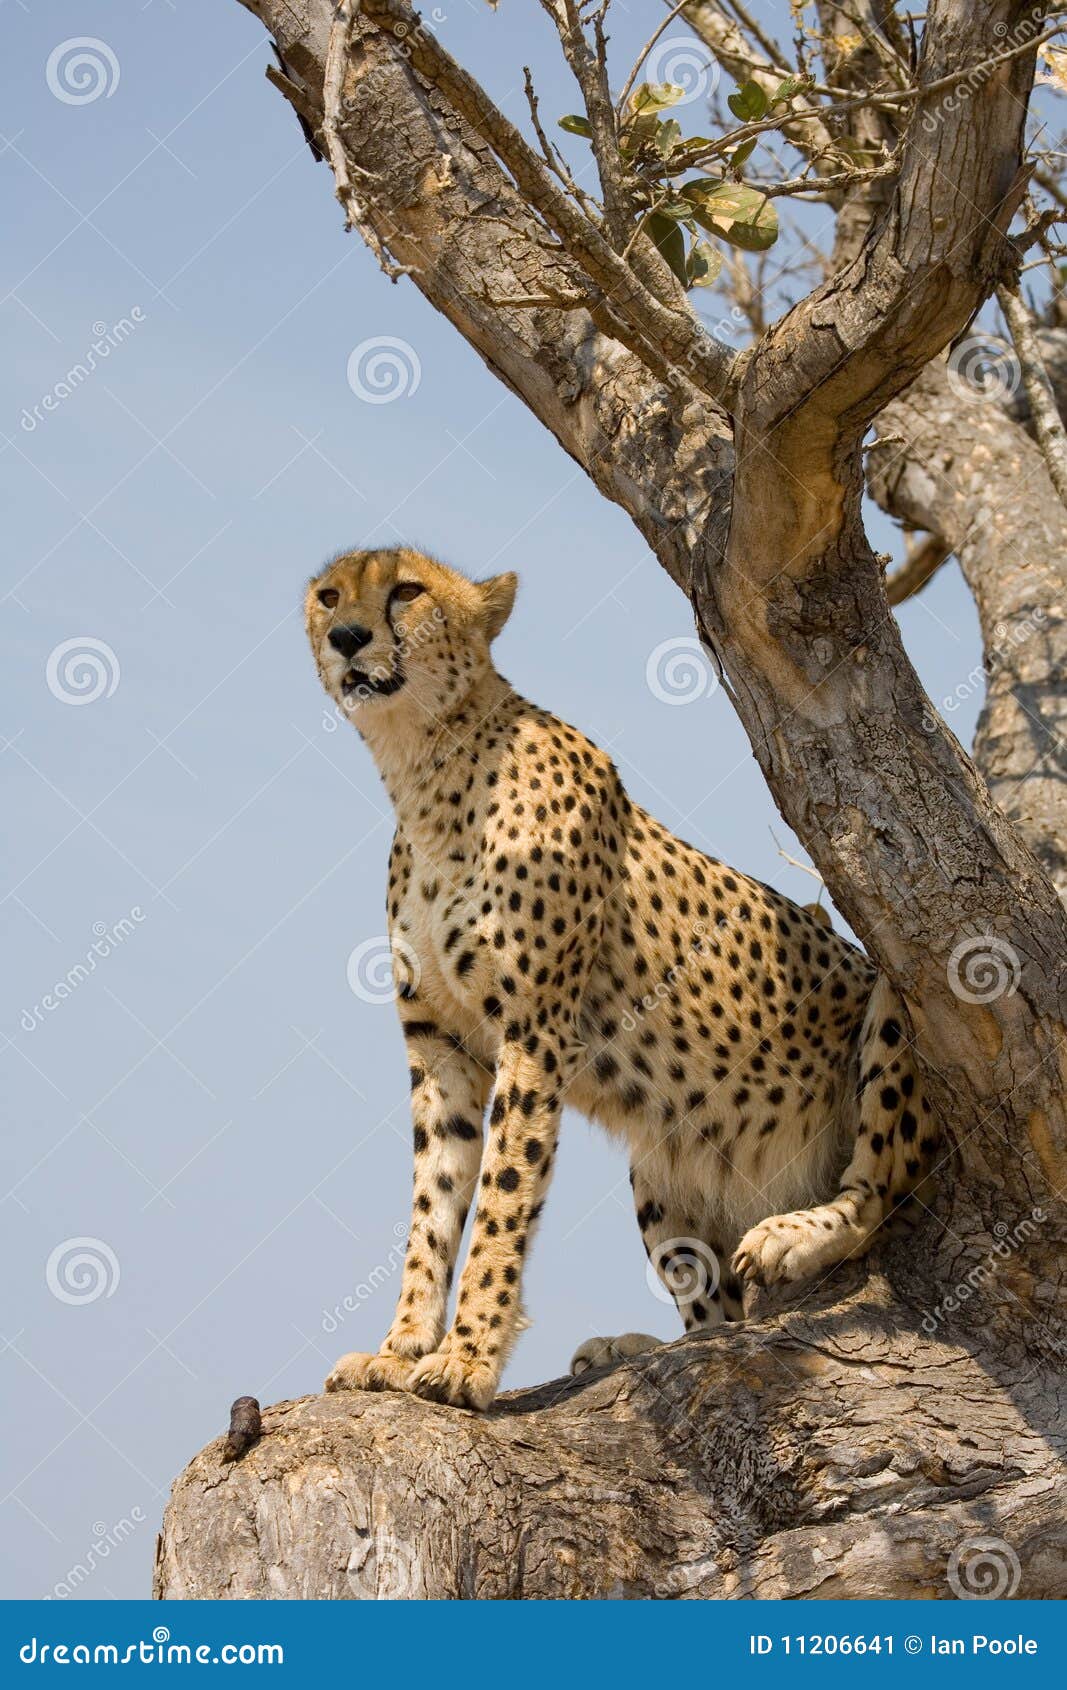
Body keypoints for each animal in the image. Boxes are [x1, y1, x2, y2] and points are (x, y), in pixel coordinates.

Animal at [305, 545, 938, 1410]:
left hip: (894, 999)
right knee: (717, 1319)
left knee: (880, 1180)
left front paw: (468, 1358)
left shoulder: (534, 1036)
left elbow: (501, 1200)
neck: (425, 766)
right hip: (661, 1157)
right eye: (328, 595)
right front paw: (400, 1350)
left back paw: (796, 1234)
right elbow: (433, 1205)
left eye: (406, 591)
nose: (347, 637)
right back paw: (632, 1345)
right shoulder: (440, 1049)